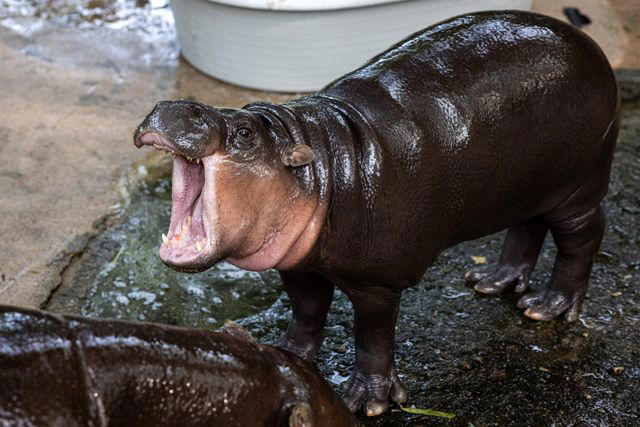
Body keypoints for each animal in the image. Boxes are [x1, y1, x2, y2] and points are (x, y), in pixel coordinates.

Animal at [133, 11, 619, 416]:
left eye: (246, 132)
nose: (172, 106)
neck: (321, 167)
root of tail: (587, 43)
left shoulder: (378, 283)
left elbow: (372, 337)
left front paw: (368, 401)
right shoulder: (298, 263)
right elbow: (307, 311)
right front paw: (285, 353)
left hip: (580, 187)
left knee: (584, 236)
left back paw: (548, 308)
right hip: (527, 188)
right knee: (527, 226)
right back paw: (491, 282)